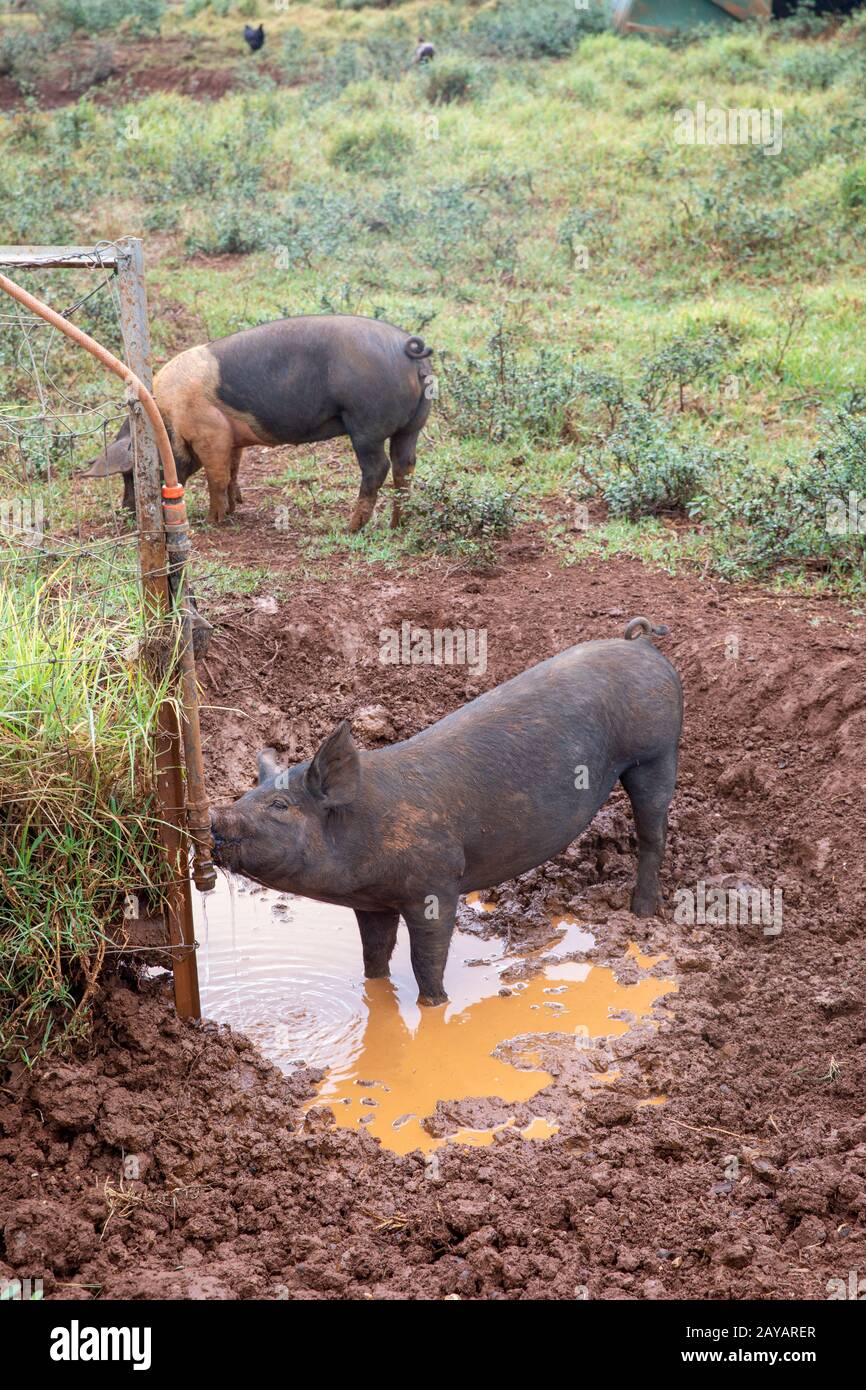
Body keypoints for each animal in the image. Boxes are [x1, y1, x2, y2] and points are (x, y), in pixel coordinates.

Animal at [82, 315, 434, 530]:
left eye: (131, 474)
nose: (127, 513)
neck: (168, 419)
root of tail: (407, 350)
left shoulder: (210, 432)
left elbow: (216, 477)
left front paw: (213, 520)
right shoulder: (229, 437)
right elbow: (233, 470)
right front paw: (234, 507)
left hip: (365, 424)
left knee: (378, 468)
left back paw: (350, 528)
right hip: (413, 425)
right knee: (405, 465)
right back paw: (396, 524)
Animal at [210, 617, 682, 1007]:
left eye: (280, 805)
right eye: (248, 794)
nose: (215, 816)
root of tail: (641, 644)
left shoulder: (436, 880)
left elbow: (427, 958)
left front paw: (434, 1005)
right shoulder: (371, 902)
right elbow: (374, 953)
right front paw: (376, 988)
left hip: (656, 752)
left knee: (653, 834)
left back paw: (641, 912)